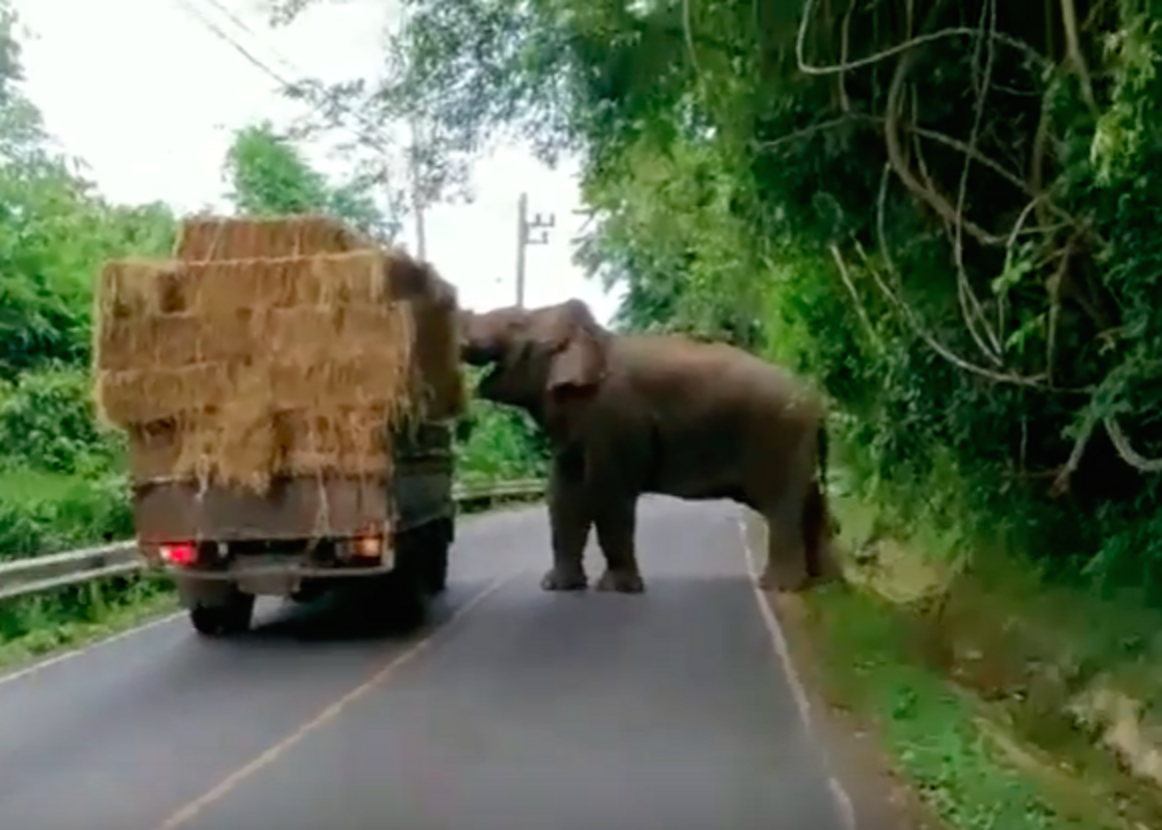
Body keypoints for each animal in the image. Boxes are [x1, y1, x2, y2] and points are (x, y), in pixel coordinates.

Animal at [459, 299, 837, 595]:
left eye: (515, 322)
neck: (596, 341)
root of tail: (818, 402)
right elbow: (563, 494)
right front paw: (557, 587)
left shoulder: (615, 417)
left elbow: (609, 493)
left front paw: (617, 589)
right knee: (811, 502)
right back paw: (824, 582)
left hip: (780, 436)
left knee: (782, 506)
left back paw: (779, 587)